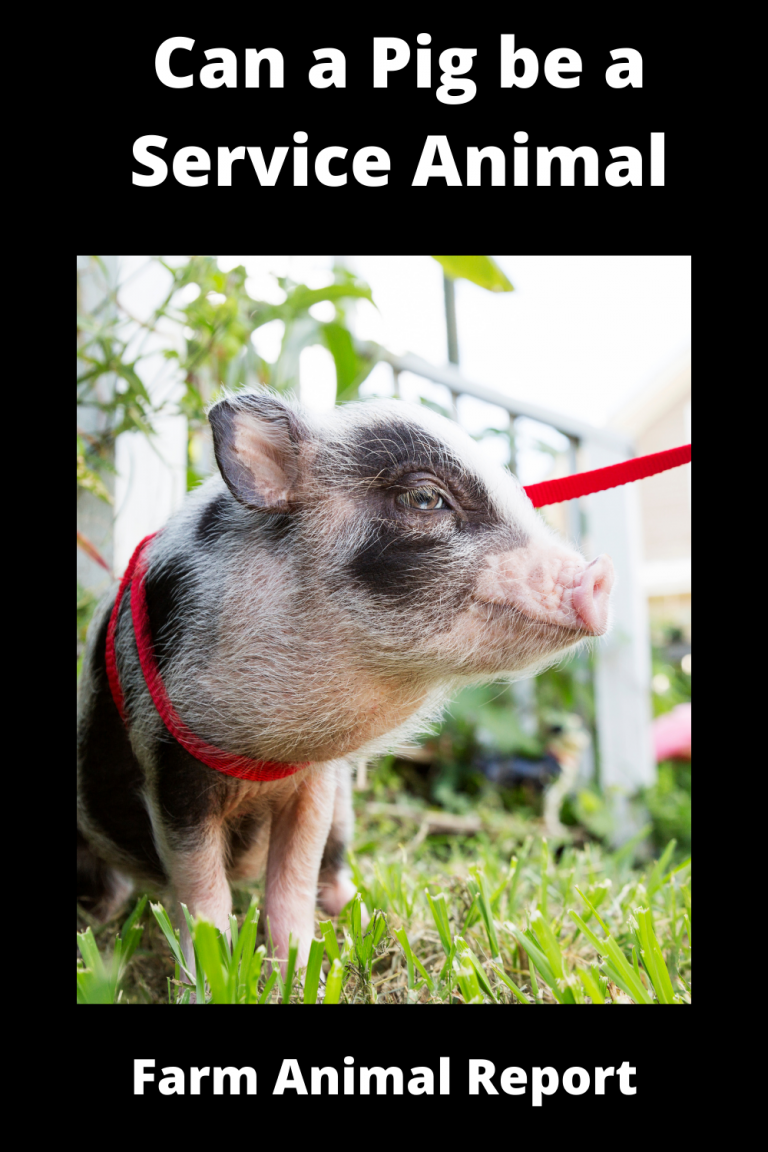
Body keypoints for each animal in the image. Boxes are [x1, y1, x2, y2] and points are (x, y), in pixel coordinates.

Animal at [77, 389, 614, 975]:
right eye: (425, 498)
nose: (599, 574)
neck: (265, 757)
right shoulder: (170, 762)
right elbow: (202, 897)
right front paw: (208, 979)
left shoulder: (316, 781)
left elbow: (294, 876)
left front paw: (297, 969)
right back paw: (99, 916)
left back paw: (360, 907)